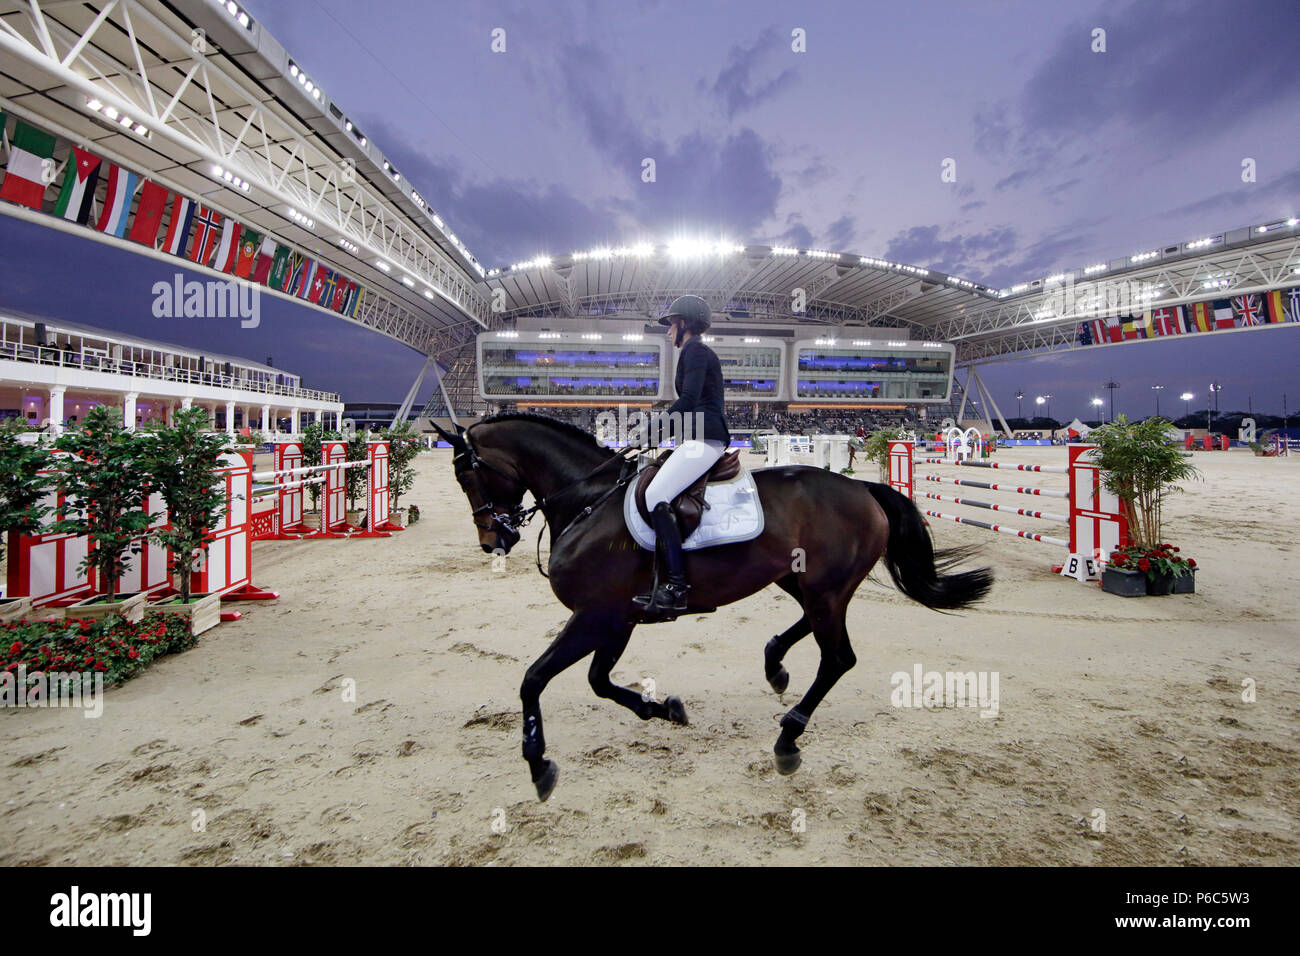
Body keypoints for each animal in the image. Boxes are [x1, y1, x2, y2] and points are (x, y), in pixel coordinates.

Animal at [431, 416, 987, 806]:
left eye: (466, 474)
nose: (492, 541)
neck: (589, 501)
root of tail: (863, 488)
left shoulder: (595, 615)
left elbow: (534, 679)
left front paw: (538, 764)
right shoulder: (616, 618)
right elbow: (598, 681)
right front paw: (664, 709)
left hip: (824, 587)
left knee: (838, 658)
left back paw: (788, 737)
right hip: (804, 581)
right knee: (812, 631)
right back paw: (775, 664)